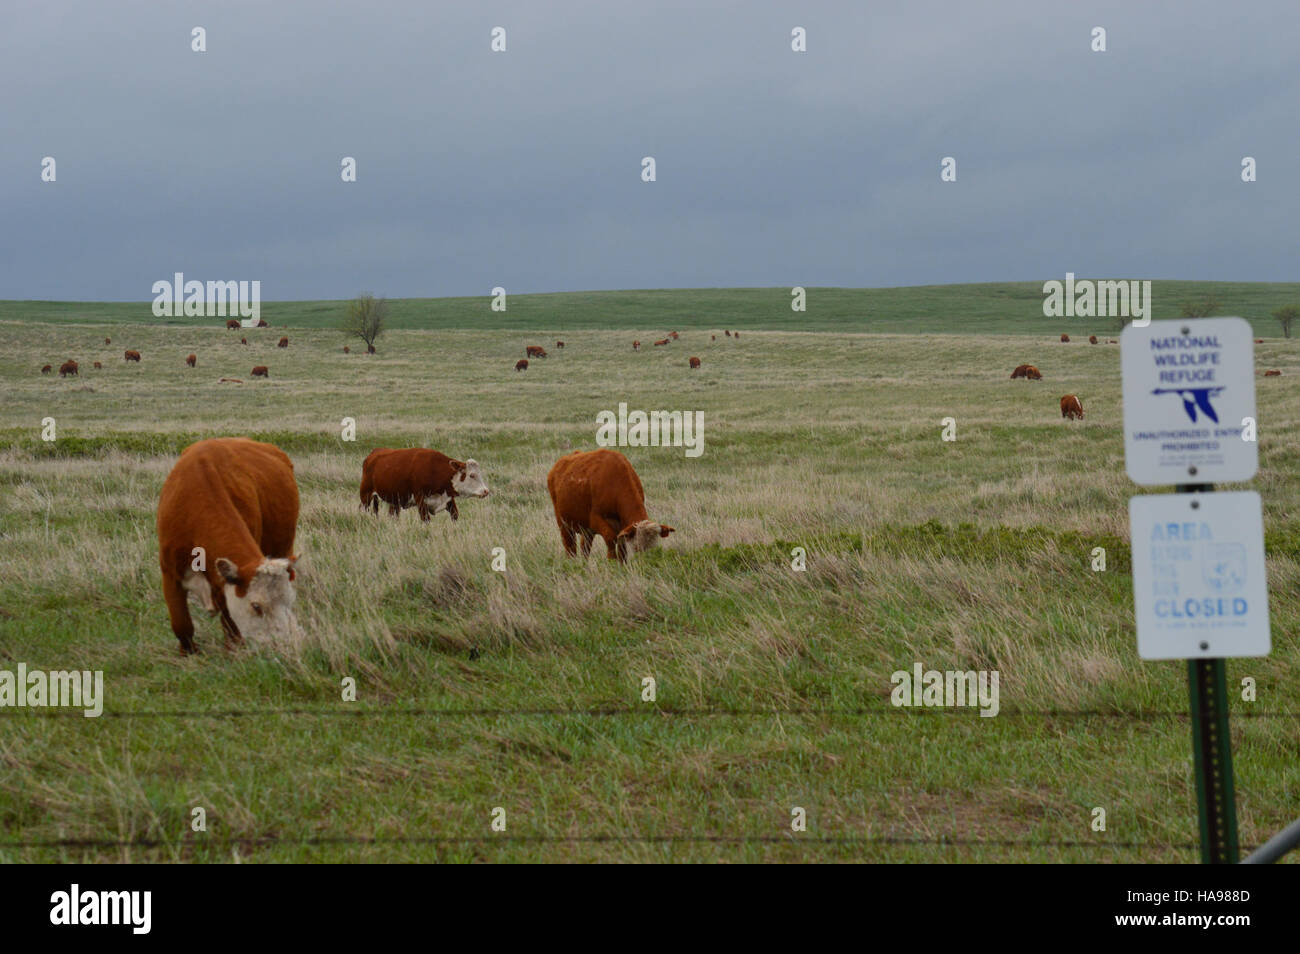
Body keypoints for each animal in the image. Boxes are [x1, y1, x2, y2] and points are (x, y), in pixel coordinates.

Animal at [156, 437, 301, 654]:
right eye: (256, 606)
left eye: (289, 601)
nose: (282, 648)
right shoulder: (170, 572)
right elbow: (181, 624)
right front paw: (188, 653)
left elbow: (230, 623)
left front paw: (233, 651)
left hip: (284, 546)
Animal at [359, 448, 489, 522]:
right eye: (472, 475)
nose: (486, 491)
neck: (434, 470)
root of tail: (373, 454)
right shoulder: (420, 500)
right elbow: (426, 519)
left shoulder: (448, 499)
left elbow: (455, 515)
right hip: (365, 495)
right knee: (363, 509)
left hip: (394, 501)